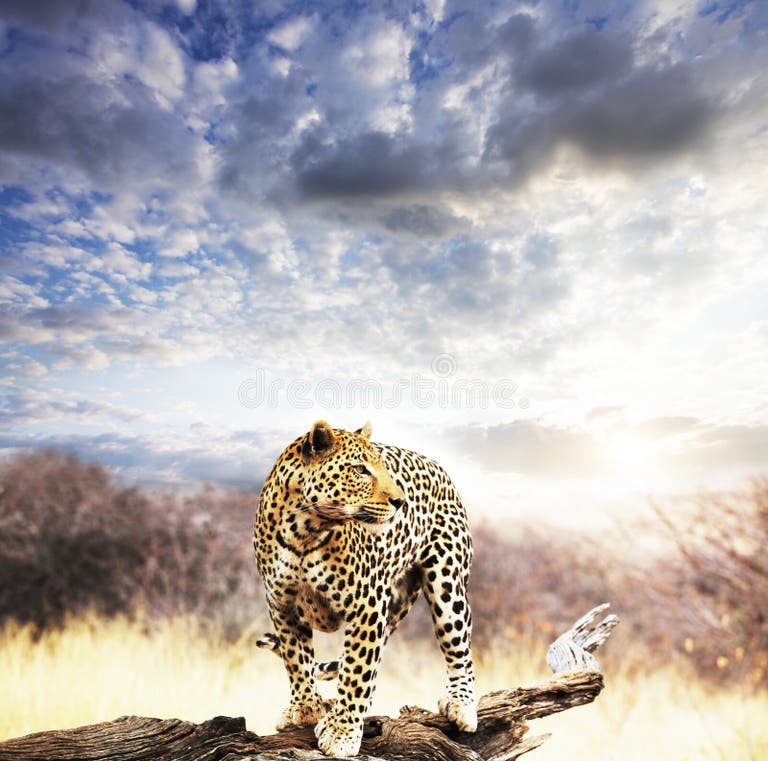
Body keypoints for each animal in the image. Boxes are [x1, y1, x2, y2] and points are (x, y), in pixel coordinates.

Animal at [253, 420, 477, 758]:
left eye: (383, 467)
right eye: (360, 470)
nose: (400, 502)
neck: (303, 531)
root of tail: (438, 467)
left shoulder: (366, 605)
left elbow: (356, 670)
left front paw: (341, 733)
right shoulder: (282, 604)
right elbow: (297, 659)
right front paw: (306, 707)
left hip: (447, 584)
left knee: (459, 648)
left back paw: (462, 703)